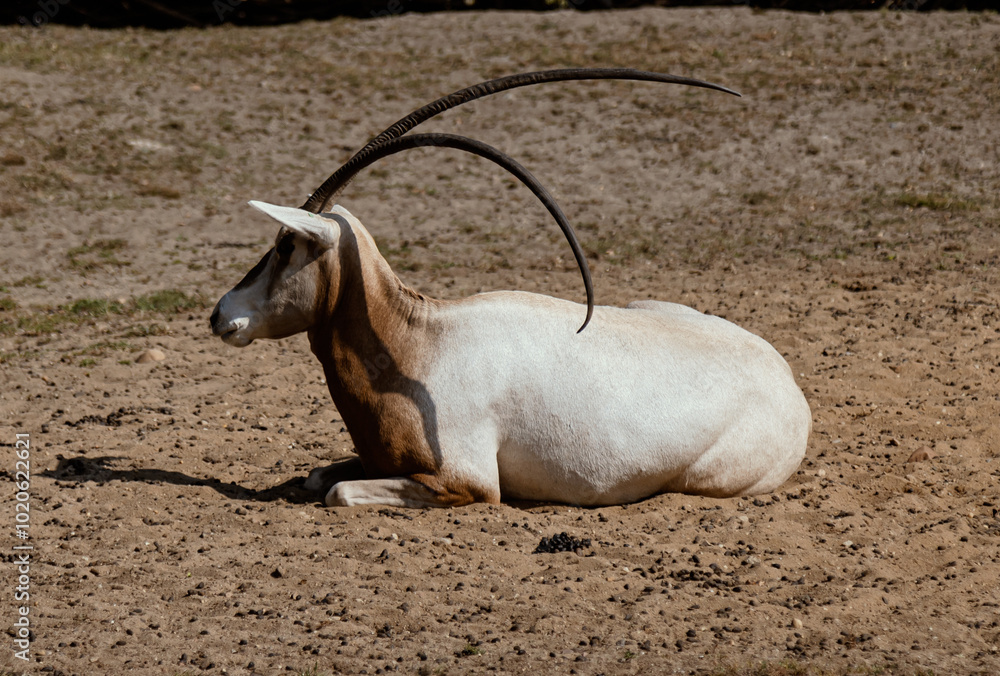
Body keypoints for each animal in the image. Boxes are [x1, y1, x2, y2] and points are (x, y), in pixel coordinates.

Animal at [211, 69, 811, 508]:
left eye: (286, 244)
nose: (220, 314)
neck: (415, 343)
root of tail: (789, 385)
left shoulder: (466, 481)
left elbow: (335, 491)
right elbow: (318, 476)